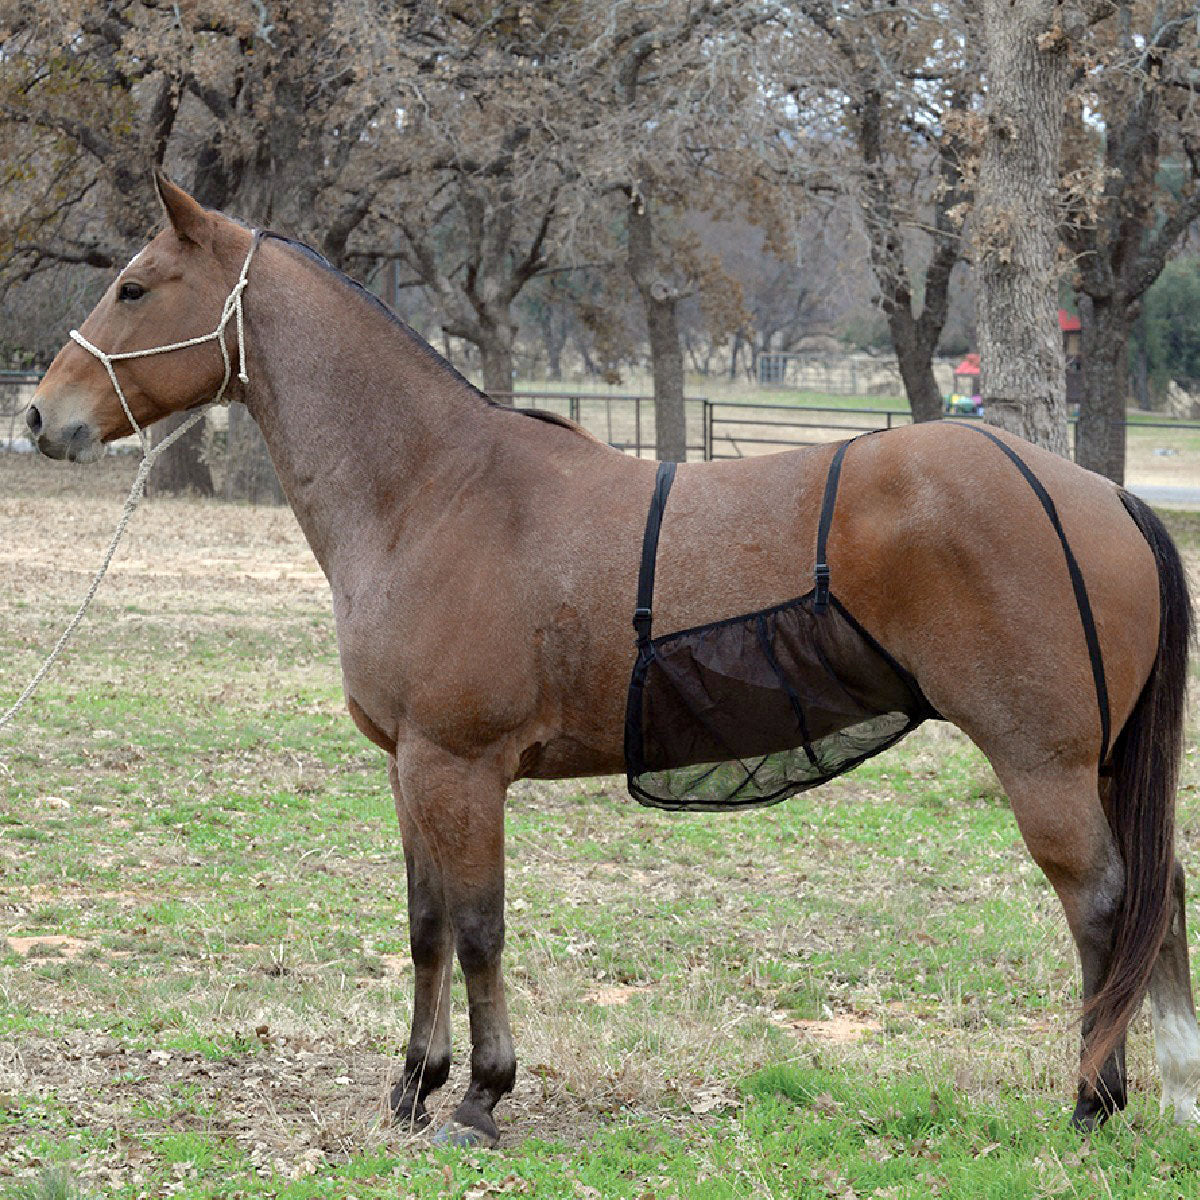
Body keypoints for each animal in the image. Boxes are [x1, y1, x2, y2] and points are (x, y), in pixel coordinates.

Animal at [25, 173, 1198, 1146]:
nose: (39, 415)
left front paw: (481, 1096)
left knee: (1102, 904)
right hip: (1096, 766)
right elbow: (426, 926)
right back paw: (1175, 1092)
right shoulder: (411, 767)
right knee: (1161, 894)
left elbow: (480, 929)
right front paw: (414, 1084)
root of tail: (1107, 495)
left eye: (134, 287)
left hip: (1041, 764)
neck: (432, 490)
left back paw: (1095, 1102)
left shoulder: (460, 766)